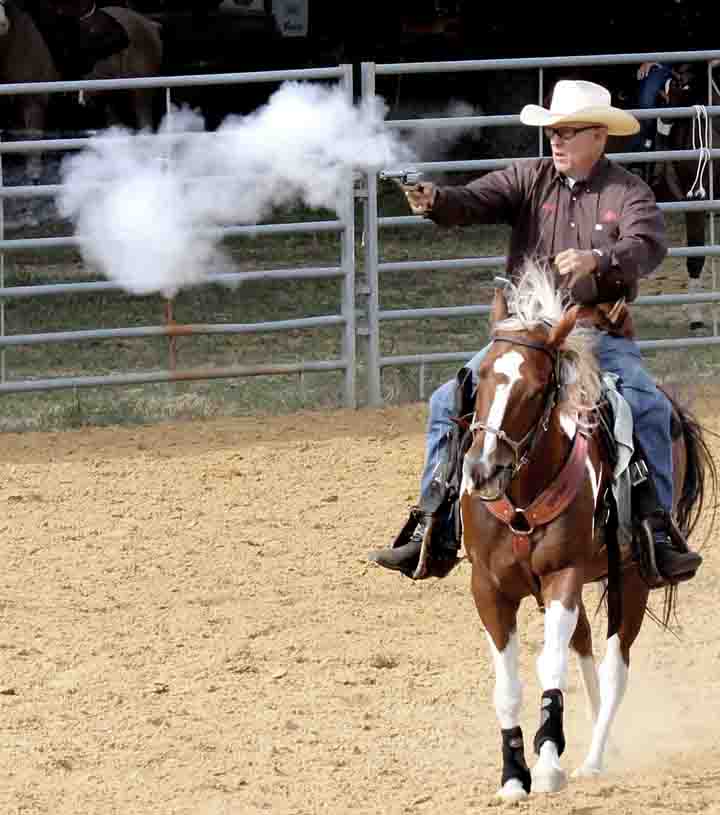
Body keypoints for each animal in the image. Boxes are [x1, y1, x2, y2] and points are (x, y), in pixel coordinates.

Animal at [459, 262, 715, 801]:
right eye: (482, 377)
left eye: (535, 388)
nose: (482, 470)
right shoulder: (488, 587)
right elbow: (508, 686)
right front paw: (513, 774)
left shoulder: (565, 575)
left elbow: (550, 667)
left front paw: (548, 763)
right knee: (587, 651)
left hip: (631, 578)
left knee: (615, 667)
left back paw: (594, 759)